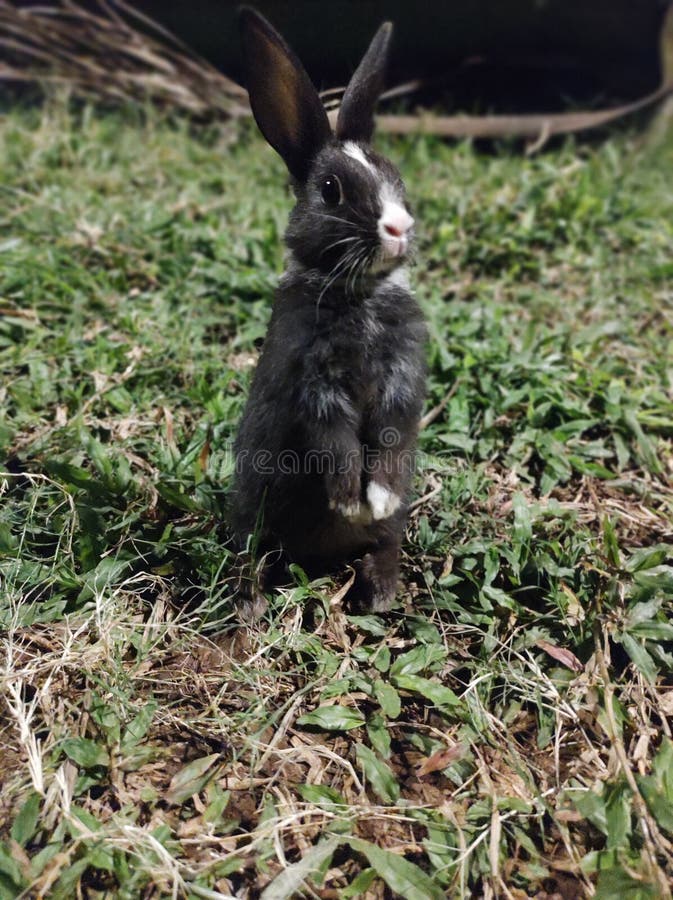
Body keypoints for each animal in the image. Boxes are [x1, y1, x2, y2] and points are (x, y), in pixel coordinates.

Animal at [230, 8, 427, 617]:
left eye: (397, 177)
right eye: (331, 190)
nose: (399, 227)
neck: (357, 294)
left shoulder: (402, 379)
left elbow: (391, 434)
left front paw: (376, 498)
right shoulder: (315, 383)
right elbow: (335, 442)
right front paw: (347, 500)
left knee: (386, 544)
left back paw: (378, 591)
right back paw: (250, 603)